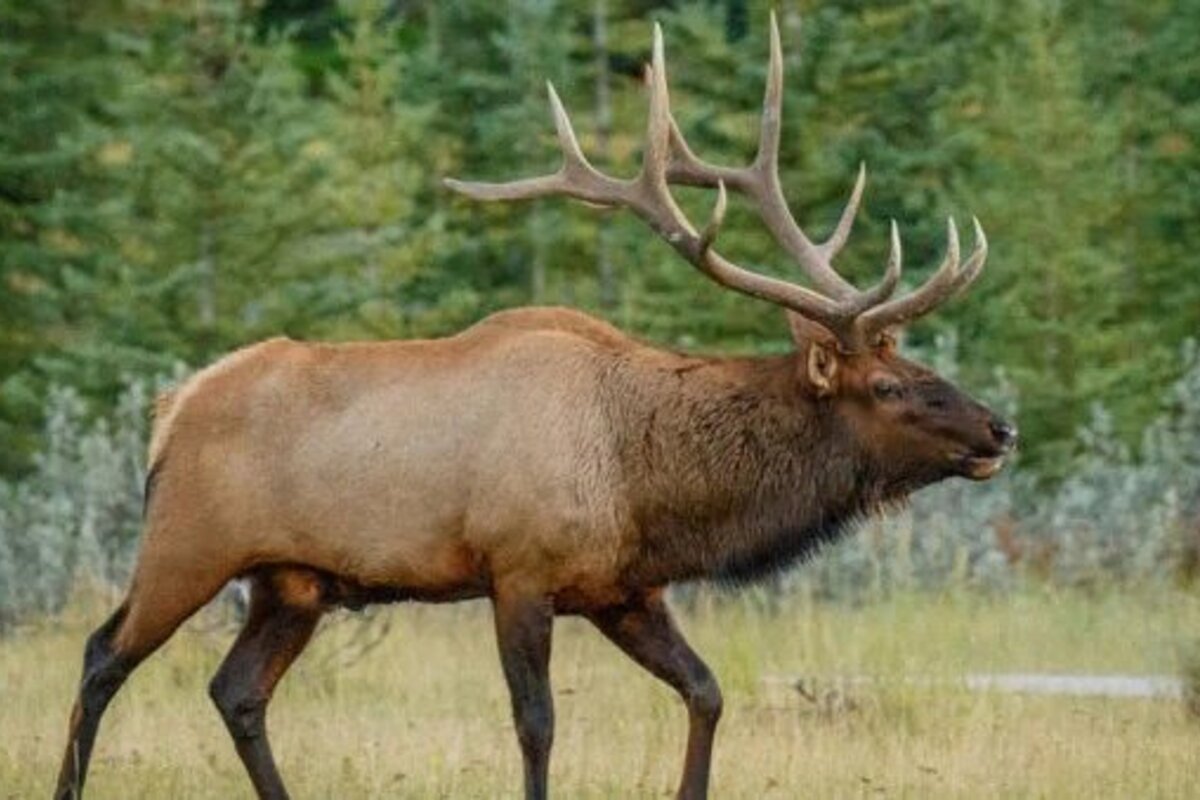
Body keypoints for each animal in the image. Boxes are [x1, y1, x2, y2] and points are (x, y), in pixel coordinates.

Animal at [53, 14, 1015, 800]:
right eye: (889, 386)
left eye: (915, 362)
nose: (999, 428)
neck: (650, 482)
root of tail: (171, 409)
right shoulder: (518, 570)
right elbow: (537, 725)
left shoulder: (624, 588)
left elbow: (706, 692)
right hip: (187, 544)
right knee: (102, 656)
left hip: (291, 582)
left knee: (237, 691)